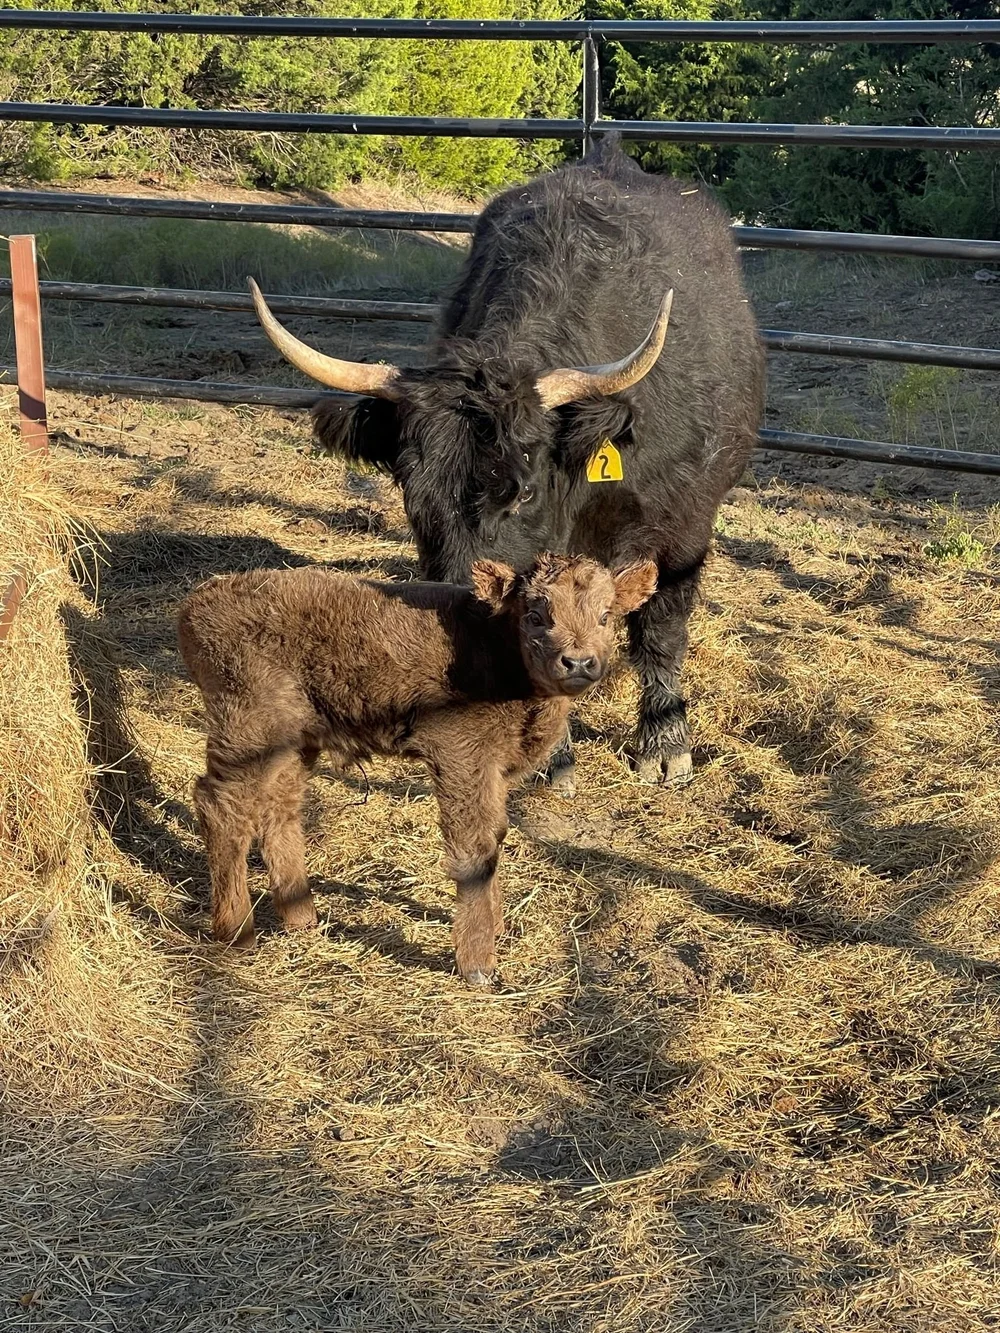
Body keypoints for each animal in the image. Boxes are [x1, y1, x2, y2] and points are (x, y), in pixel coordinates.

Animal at [177, 553, 658, 985]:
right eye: (537, 616)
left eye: (605, 616)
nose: (578, 661)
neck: (496, 649)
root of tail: (199, 599)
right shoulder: (460, 756)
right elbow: (475, 851)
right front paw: (477, 964)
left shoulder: (494, 770)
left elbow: (497, 836)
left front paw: (498, 927)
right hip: (250, 731)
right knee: (221, 806)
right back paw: (237, 931)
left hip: (296, 742)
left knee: (279, 808)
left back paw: (301, 918)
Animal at [248, 135, 765, 794]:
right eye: (411, 492)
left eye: (523, 494)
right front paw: (550, 755)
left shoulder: (685, 523)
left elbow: (662, 627)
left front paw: (665, 743)